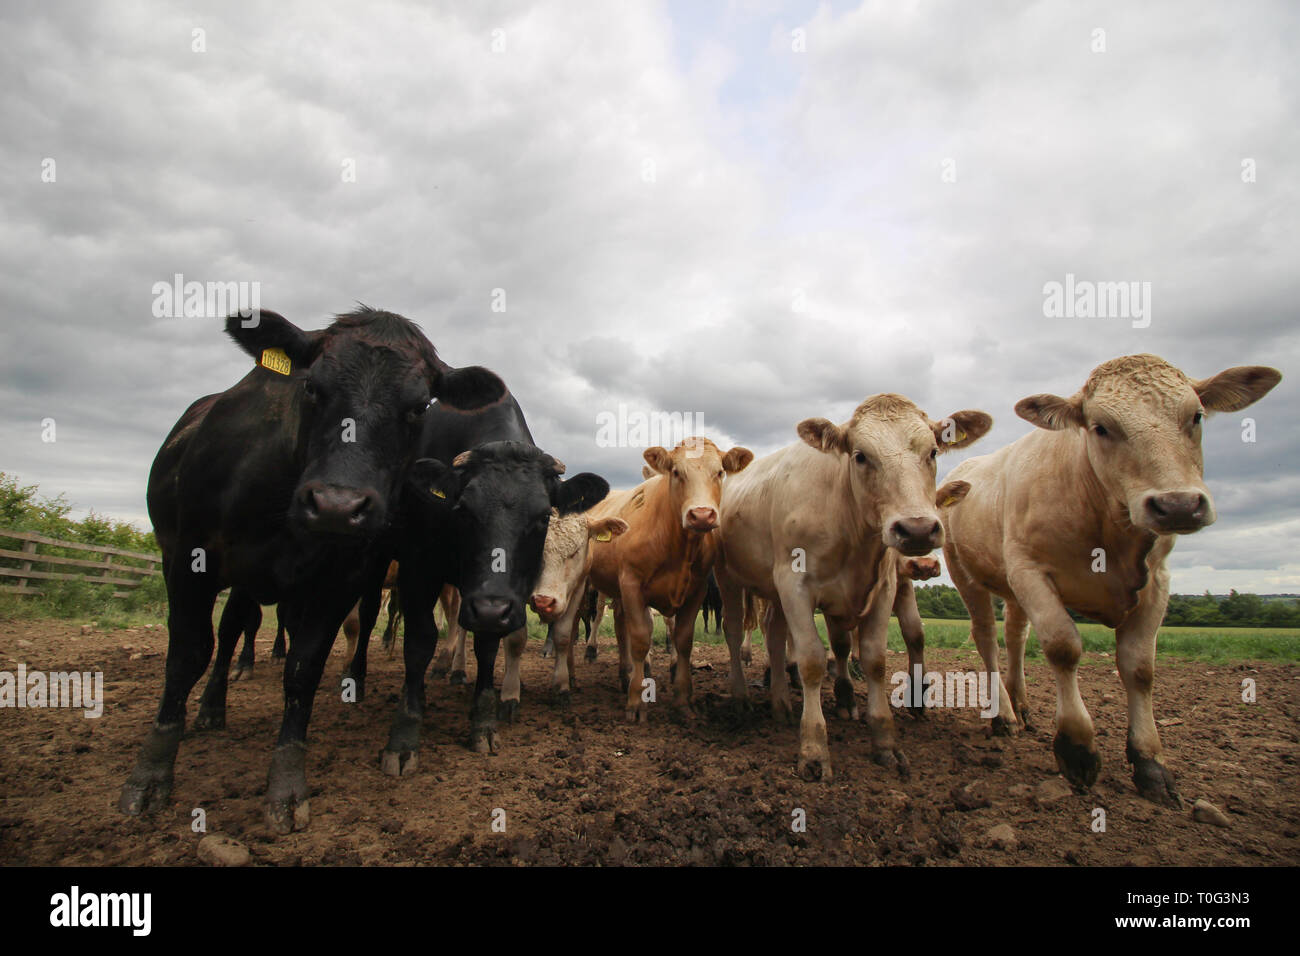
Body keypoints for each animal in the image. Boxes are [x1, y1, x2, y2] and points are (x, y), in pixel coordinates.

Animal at [119, 307, 505, 833]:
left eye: (419, 407)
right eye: (311, 387)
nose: (337, 507)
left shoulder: (339, 580)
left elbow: (304, 669)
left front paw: (285, 785)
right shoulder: (188, 559)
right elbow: (187, 655)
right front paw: (151, 773)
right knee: (231, 631)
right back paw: (214, 705)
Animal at [374, 391, 609, 771]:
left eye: (542, 516)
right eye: (463, 509)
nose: (545, 601)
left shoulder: (511, 599)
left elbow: (498, 644)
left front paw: (483, 723)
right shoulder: (418, 569)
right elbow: (421, 642)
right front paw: (404, 737)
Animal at [586, 437, 754, 722]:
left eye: (720, 472)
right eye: (676, 472)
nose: (701, 515)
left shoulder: (696, 591)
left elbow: (683, 640)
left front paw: (683, 700)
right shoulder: (632, 584)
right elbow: (641, 639)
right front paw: (636, 702)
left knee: (619, 626)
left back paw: (624, 675)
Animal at [716, 394, 992, 781]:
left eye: (933, 451)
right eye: (860, 456)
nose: (917, 529)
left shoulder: (884, 588)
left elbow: (873, 658)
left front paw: (885, 741)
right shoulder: (795, 585)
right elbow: (813, 661)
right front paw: (814, 749)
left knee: (774, 634)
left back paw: (781, 703)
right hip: (729, 579)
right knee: (733, 629)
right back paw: (742, 697)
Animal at [941, 355, 1281, 804]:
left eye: (1196, 416)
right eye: (1100, 427)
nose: (1178, 505)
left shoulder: (1158, 581)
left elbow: (1139, 667)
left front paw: (1150, 762)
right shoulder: (1031, 570)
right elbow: (1064, 647)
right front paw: (1077, 749)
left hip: (1012, 586)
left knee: (1015, 636)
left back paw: (1023, 705)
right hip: (968, 574)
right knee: (987, 639)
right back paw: (1004, 715)